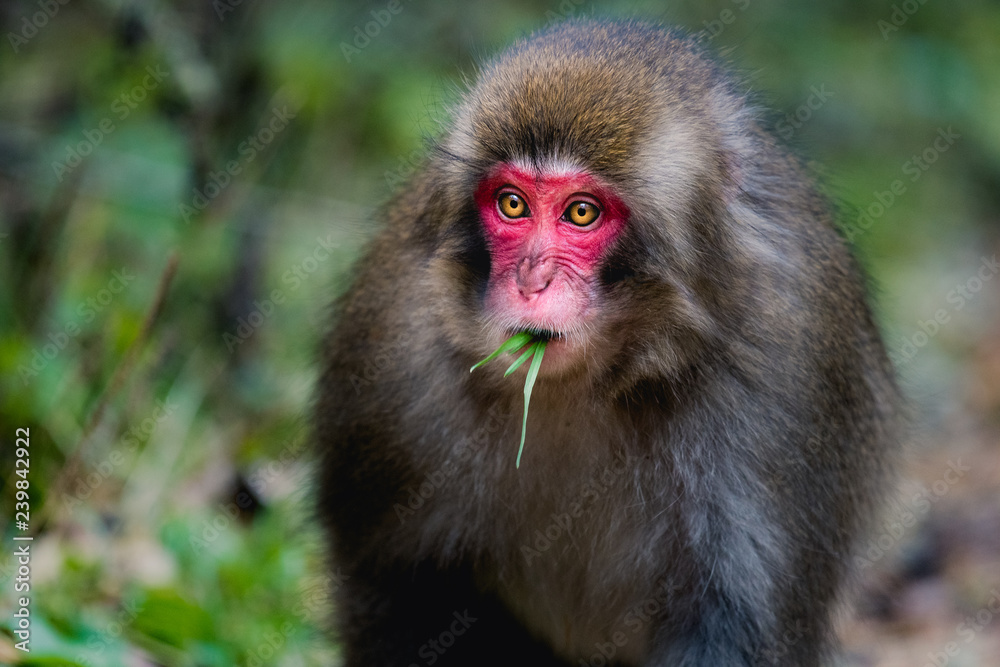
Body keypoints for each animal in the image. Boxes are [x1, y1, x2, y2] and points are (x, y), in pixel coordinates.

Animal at [314, 19, 899, 667]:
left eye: (581, 213)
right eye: (512, 203)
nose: (531, 281)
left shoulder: (786, 377)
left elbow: (734, 627)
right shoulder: (397, 352)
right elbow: (404, 589)